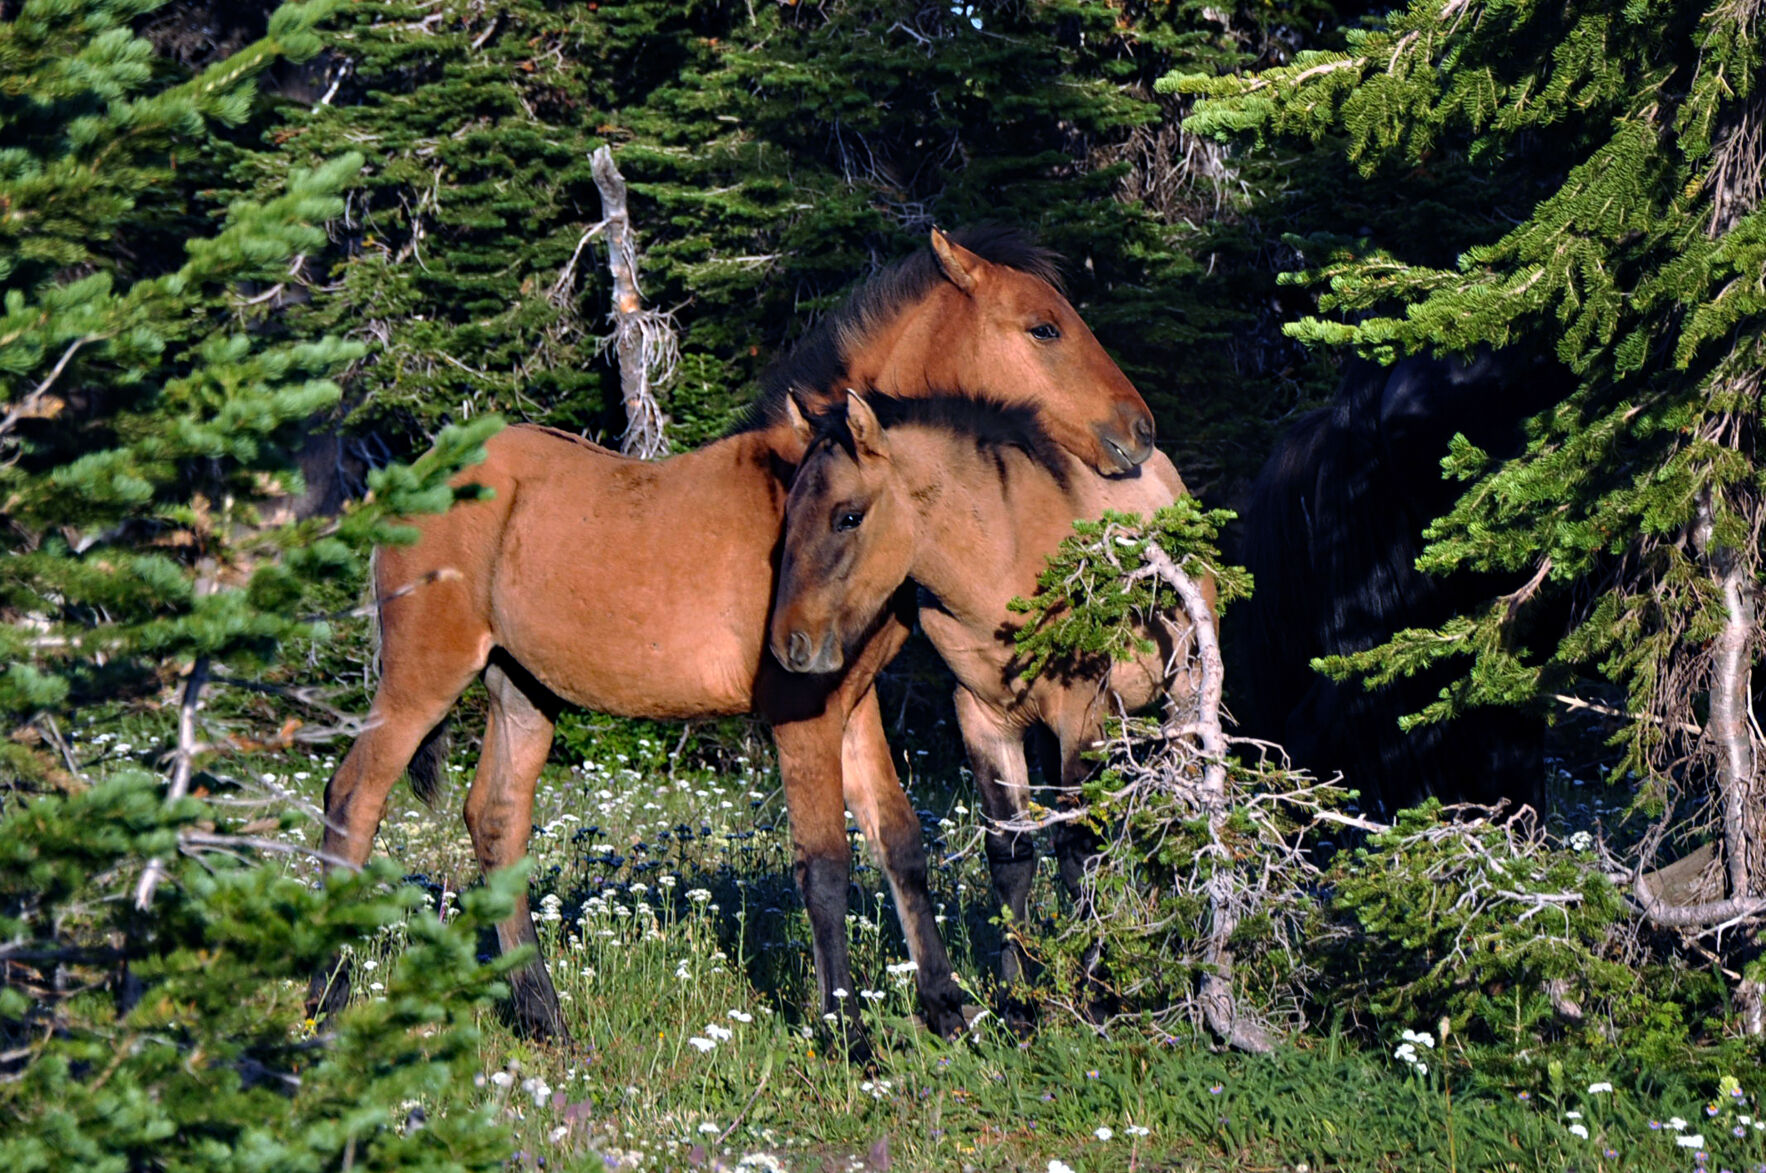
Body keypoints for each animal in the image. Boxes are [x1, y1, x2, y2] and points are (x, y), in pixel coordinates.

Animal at [309, 227, 1158, 1042]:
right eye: (1043, 326)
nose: (1139, 430)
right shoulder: (800, 709)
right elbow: (825, 863)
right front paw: (849, 1033)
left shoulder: (853, 703)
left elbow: (901, 843)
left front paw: (948, 1010)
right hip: (423, 673)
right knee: (352, 802)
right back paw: (328, 1004)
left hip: (521, 689)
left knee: (494, 821)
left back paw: (545, 1016)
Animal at [765, 390, 1207, 998]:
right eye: (788, 515)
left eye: (848, 516)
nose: (790, 644)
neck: (1002, 565)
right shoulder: (982, 715)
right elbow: (1011, 852)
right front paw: (1018, 998)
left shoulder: (1079, 710)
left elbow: (1079, 848)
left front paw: (1095, 992)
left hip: (1182, 703)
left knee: (1180, 815)